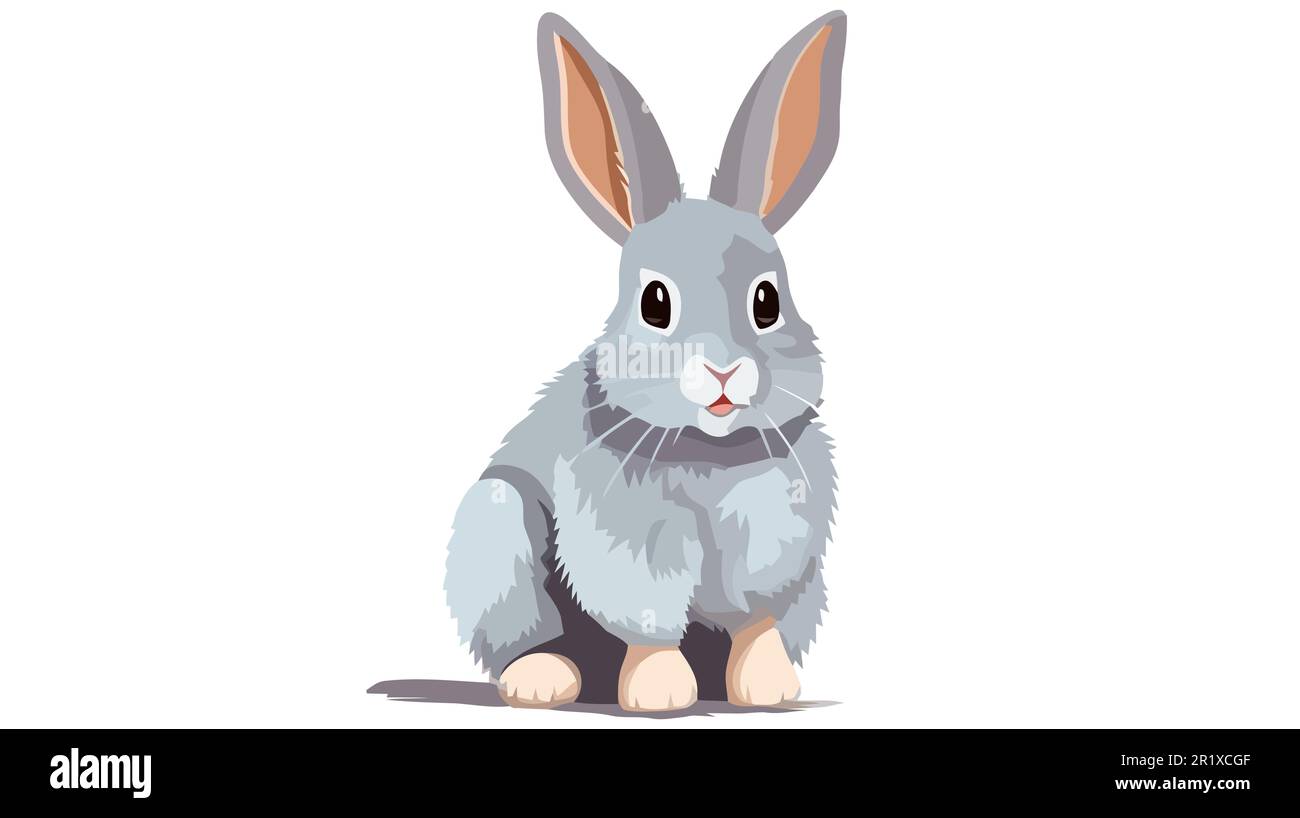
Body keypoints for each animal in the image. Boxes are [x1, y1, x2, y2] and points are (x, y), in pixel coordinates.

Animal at [445, 11, 846, 712]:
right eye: (655, 302)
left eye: (766, 301)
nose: (722, 372)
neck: (712, 452)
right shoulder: (631, 549)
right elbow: (649, 626)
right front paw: (660, 694)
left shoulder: (778, 548)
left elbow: (757, 621)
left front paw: (766, 689)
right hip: (496, 523)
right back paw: (543, 679)